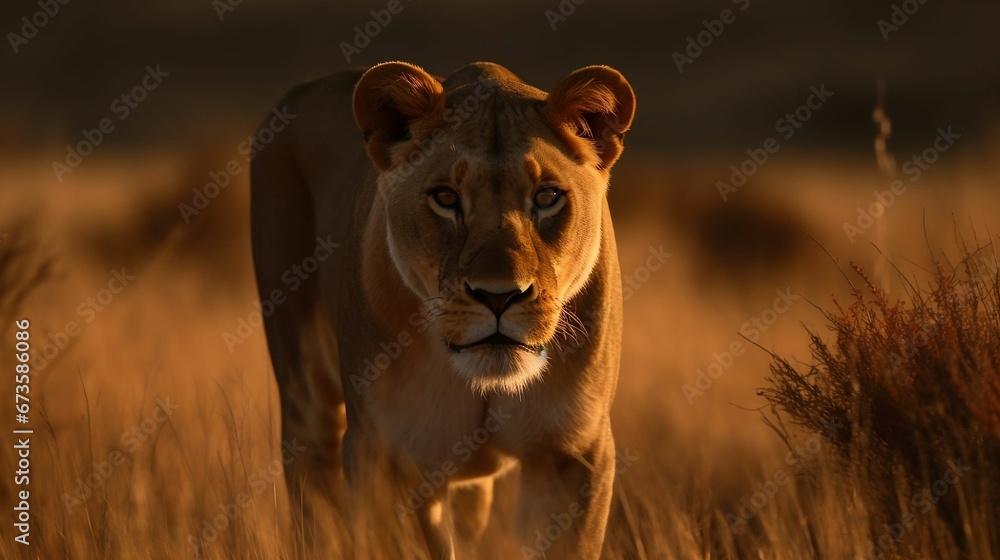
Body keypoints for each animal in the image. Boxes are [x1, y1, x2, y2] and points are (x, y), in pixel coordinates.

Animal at [250, 61, 635, 559]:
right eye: (446, 198)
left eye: (547, 197)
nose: (499, 296)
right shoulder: (384, 455)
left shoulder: (571, 454)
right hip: (307, 404)